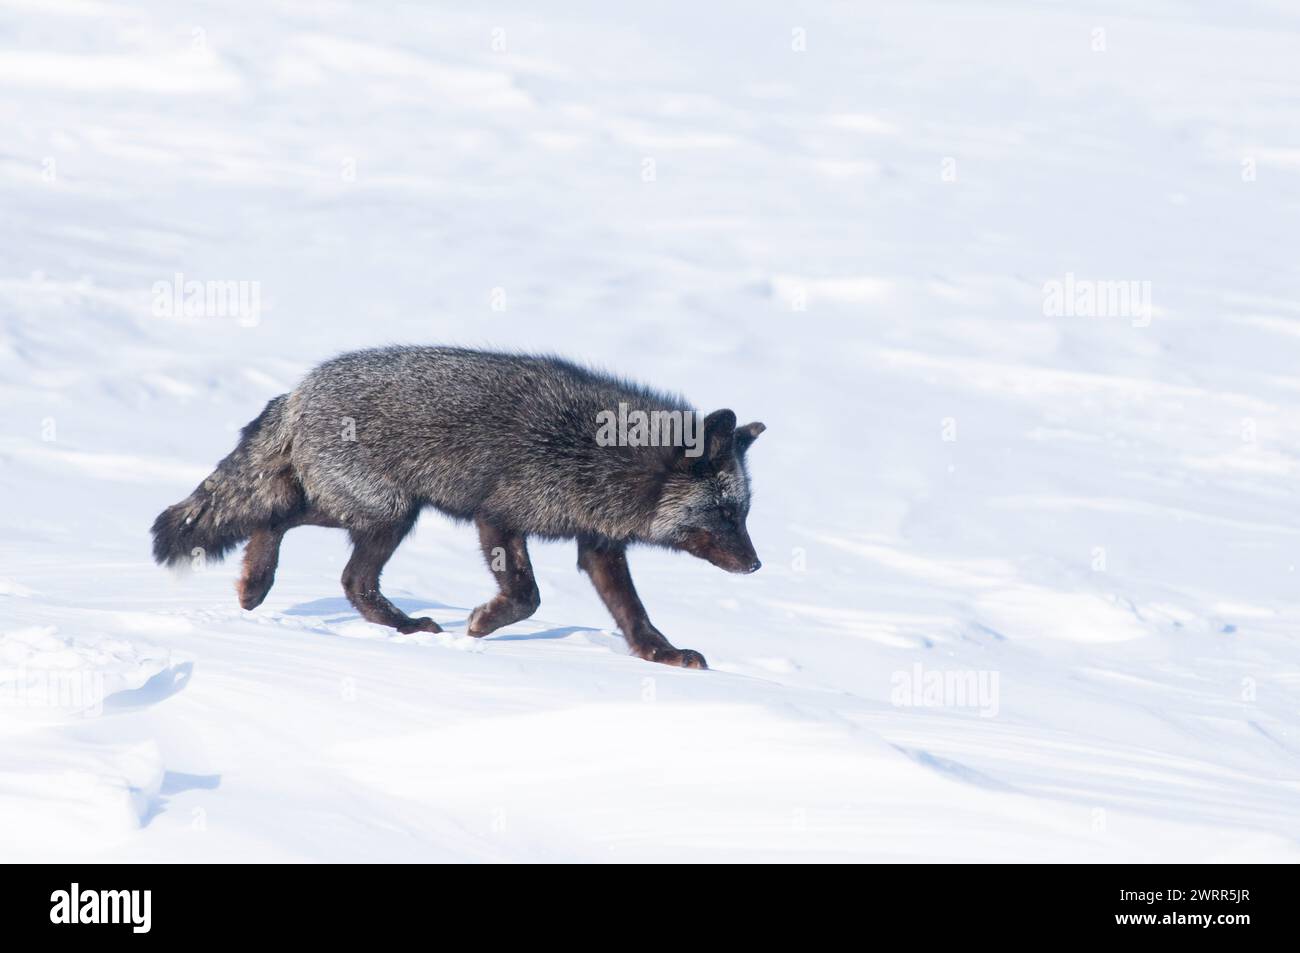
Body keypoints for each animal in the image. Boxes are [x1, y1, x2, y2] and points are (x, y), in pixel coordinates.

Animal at [151, 346, 765, 669]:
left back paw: (258, 588)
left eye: (743, 512)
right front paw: (482, 625)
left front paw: (661, 655)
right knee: (311, 545)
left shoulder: (598, 544)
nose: (757, 565)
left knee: (292, 531)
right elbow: (527, 596)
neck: (605, 457)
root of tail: (299, 390)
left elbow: (633, 613)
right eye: (725, 513)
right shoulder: (499, 515)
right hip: (388, 511)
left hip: (375, 510)